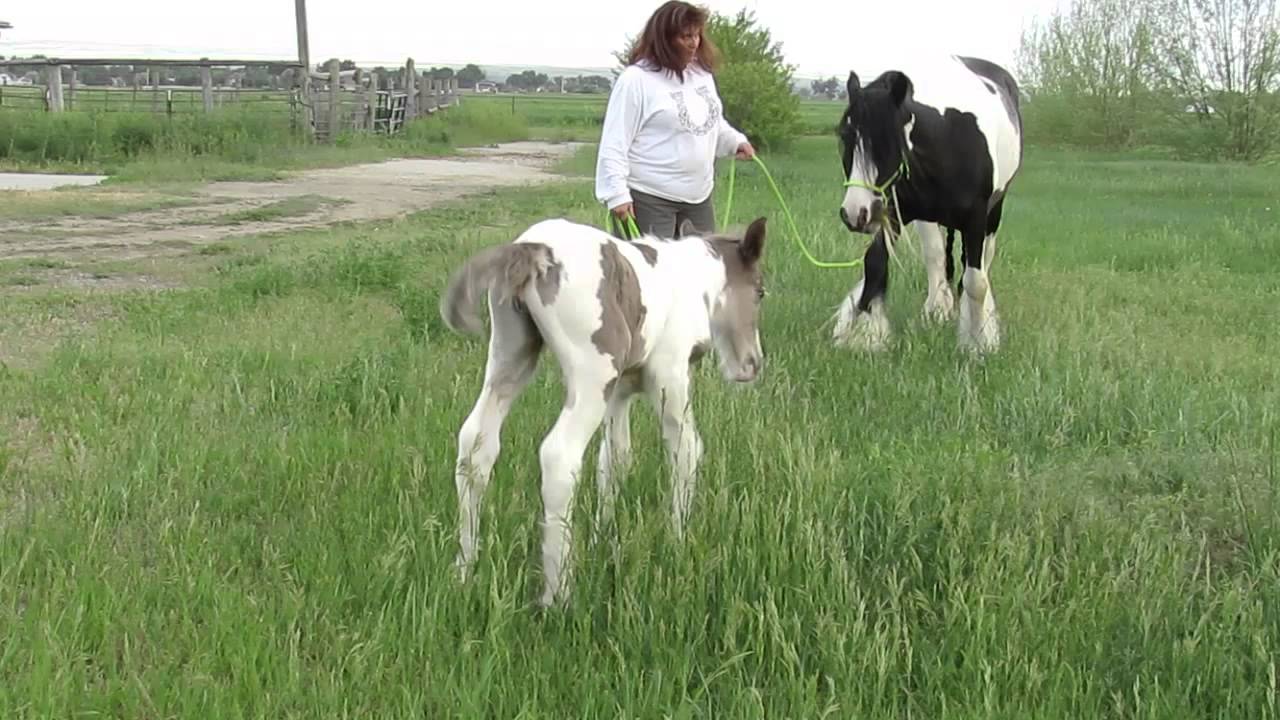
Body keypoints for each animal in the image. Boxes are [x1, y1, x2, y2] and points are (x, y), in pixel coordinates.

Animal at [440, 215, 769, 607]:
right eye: (761, 291)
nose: (752, 364)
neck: (688, 284)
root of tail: (534, 249)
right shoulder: (670, 377)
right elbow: (686, 449)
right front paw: (678, 539)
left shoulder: (621, 392)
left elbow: (614, 459)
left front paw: (604, 539)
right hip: (592, 373)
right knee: (559, 456)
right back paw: (557, 596)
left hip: (512, 354)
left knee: (476, 443)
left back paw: (464, 568)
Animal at [831, 55, 1023, 354]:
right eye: (844, 136)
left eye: (888, 140)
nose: (855, 213)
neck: (948, 138)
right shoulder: (892, 213)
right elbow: (875, 264)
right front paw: (865, 335)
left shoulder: (976, 219)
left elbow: (976, 282)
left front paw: (979, 343)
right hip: (928, 220)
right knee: (935, 257)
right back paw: (936, 311)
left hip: (993, 215)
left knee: (981, 263)